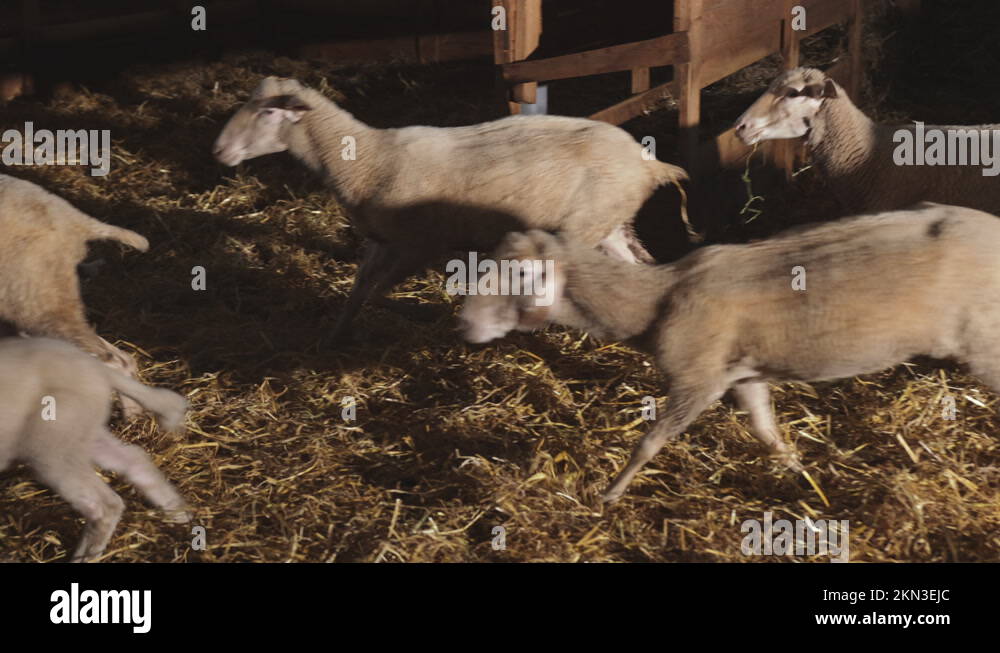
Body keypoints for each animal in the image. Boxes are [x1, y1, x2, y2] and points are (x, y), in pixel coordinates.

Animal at [0, 337, 189, 562]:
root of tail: (93, 365)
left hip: (53, 443)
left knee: (104, 505)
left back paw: (84, 556)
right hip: (82, 431)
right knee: (134, 459)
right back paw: (178, 513)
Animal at [212, 76, 688, 339]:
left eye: (269, 112)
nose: (218, 150)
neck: (367, 158)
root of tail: (648, 163)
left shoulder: (418, 245)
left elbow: (378, 294)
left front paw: (419, 314)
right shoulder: (380, 241)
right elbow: (358, 293)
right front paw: (334, 337)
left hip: (587, 226)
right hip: (609, 224)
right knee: (639, 271)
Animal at [459, 202, 1000, 503]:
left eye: (522, 275)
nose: (464, 324)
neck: (655, 297)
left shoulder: (698, 378)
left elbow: (649, 442)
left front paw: (607, 496)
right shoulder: (744, 374)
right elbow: (767, 432)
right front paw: (800, 473)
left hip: (984, 340)